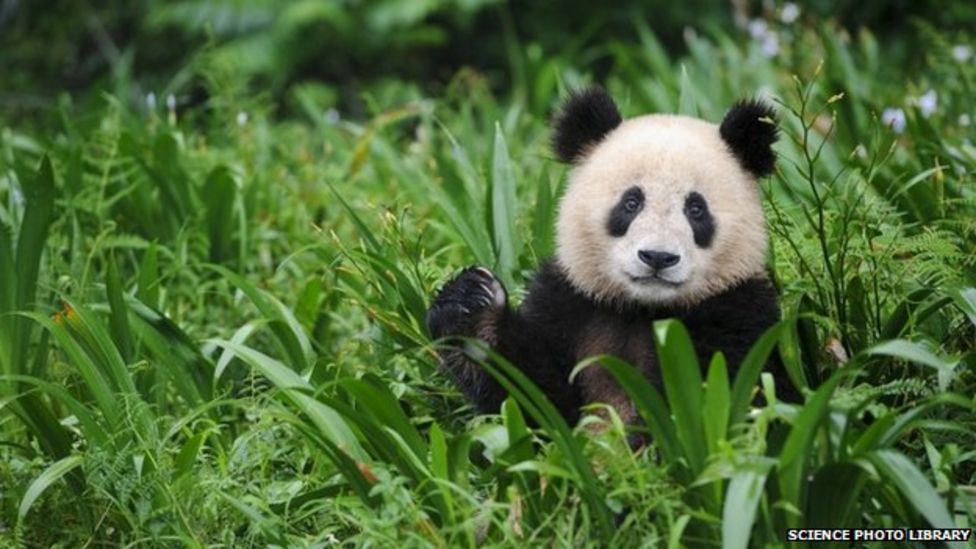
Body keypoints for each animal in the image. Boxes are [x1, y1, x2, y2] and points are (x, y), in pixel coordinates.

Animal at [426, 87, 794, 427]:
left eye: (696, 209)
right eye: (631, 203)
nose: (657, 257)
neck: (641, 308)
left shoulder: (737, 313)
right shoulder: (570, 302)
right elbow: (538, 405)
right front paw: (472, 303)